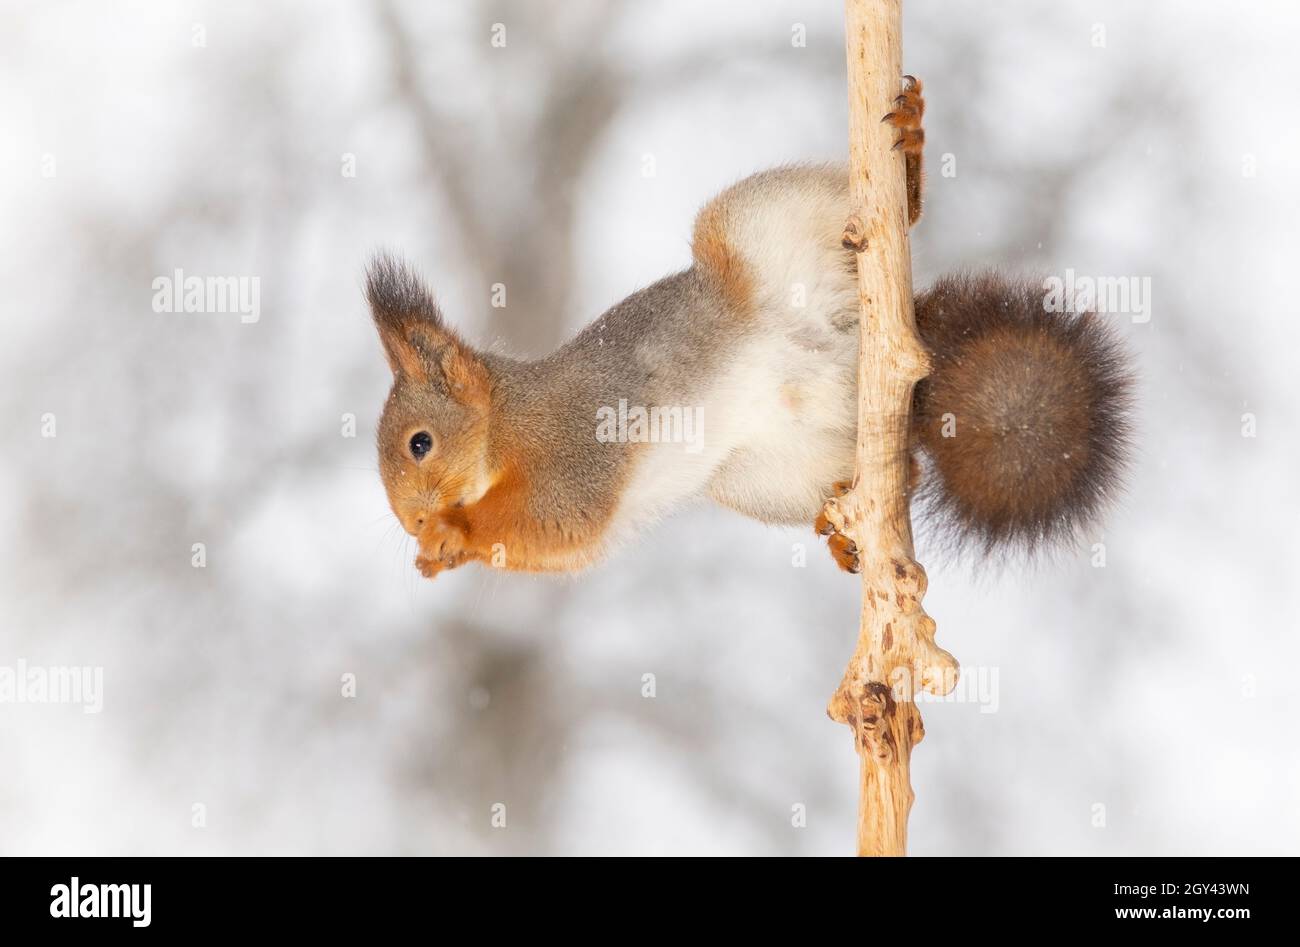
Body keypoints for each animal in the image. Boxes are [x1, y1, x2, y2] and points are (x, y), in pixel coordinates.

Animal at [365, 78, 1133, 579]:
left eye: (420, 443)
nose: (409, 521)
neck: (506, 426)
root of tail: (899, 353)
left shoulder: (578, 441)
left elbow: (561, 516)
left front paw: (452, 530)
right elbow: (561, 545)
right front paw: (439, 554)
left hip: (757, 224)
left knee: (891, 219)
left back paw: (909, 153)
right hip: (764, 474)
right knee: (901, 465)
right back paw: (847, 526)